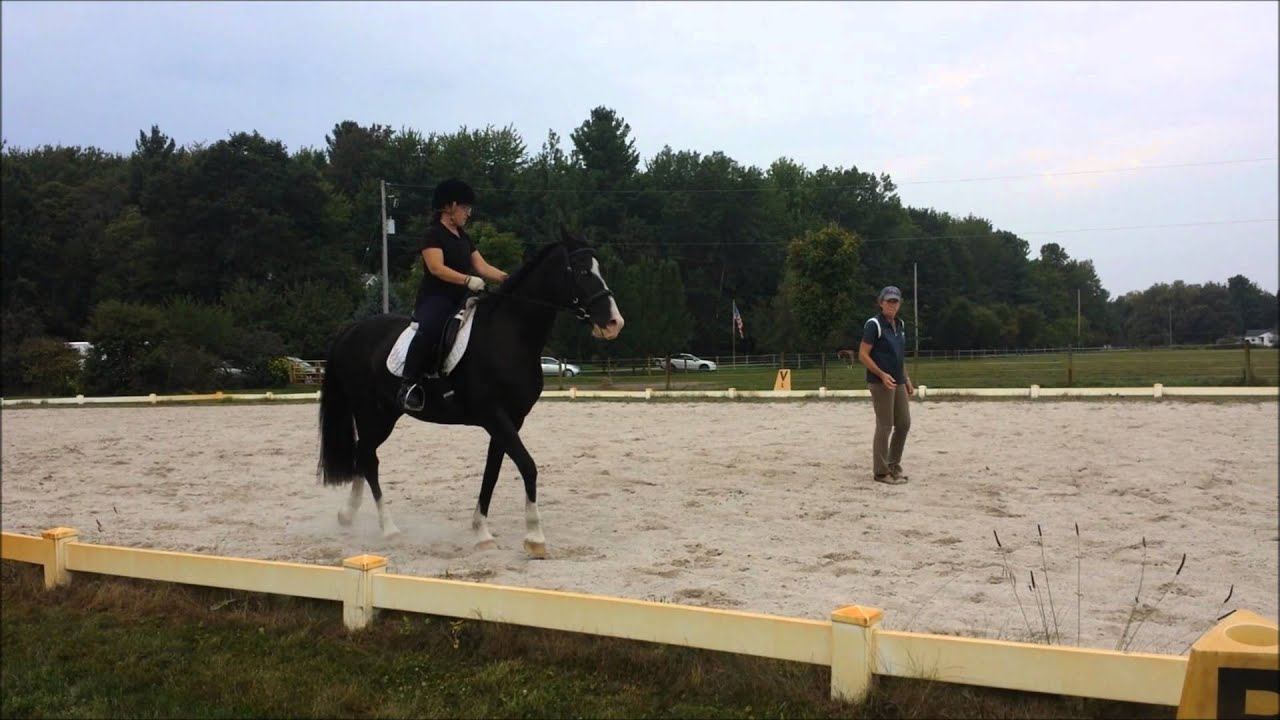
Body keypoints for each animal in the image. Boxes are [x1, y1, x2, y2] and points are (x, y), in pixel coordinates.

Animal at [316, 227, 624, 558]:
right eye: (582, 271)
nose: (613, 323)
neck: (509, 335)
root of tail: (352, 329)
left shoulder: (511, 420)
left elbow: (493, 471)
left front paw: (482, 532)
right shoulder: (494, 416)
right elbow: (527, 466)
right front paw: (534, 537)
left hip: (384, 415)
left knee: (363, 454)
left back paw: (347, 515)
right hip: (372, 413)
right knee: (369, 459)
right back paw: (389, 530)